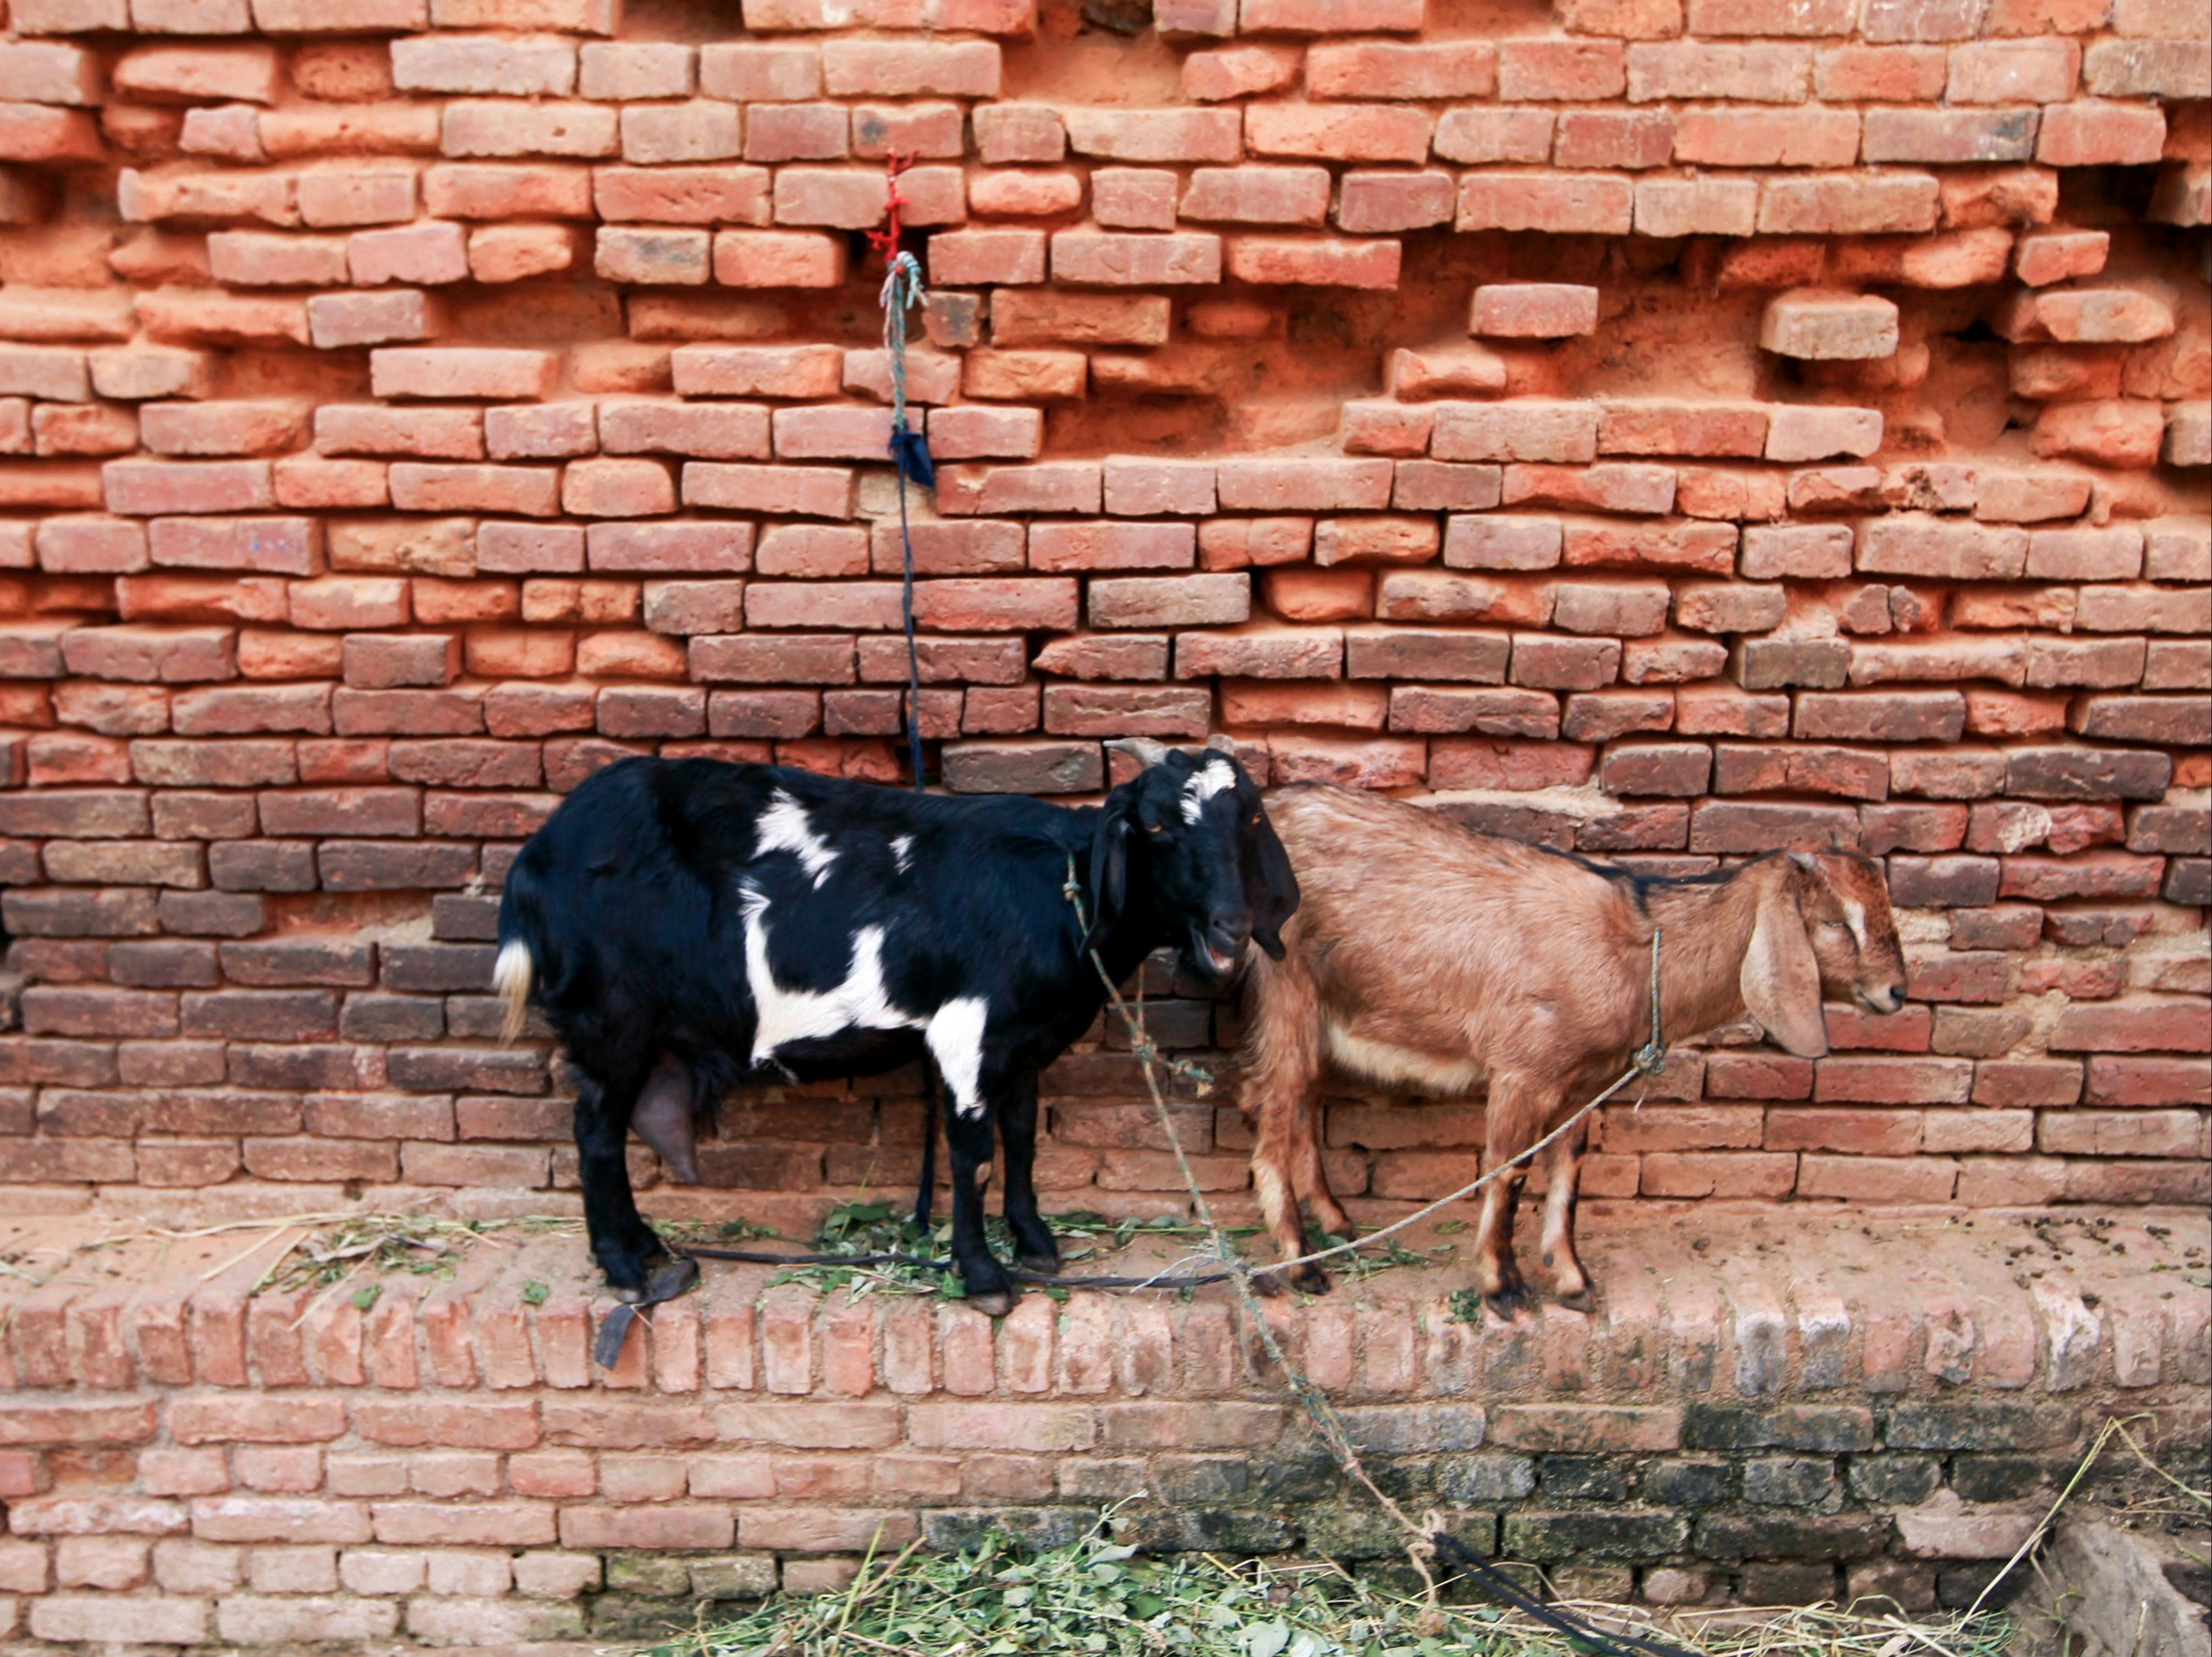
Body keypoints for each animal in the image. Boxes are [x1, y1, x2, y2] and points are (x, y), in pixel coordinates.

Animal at [496, 739, 1298, 1313]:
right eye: (1157, 826)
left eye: (1250, 819)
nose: (1229, 929)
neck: (1054, 889)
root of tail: (536, 859)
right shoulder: (965, 1031)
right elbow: (972, 1152)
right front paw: (984, 1277)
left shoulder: (1022, 1041)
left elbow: (1020, 1137)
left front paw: (1034, 1242)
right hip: (610, 1018)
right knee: (595, 1131)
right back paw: (622, 1266)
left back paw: (647, 1247)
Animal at [1237, 786, 1905, 1315]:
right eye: (1835, 923)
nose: (1896, 992)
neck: (1636, 956)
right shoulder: (1523, 1070)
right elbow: (1509, 1174)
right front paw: (1503, 1287)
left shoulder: (1584, 1082)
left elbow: (1568, 1176)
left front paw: (1574, 1281)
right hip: (1288, 985)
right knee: (1271, 1110)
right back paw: (1300, 1263)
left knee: (1298, 1103)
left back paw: (1336, 1222)